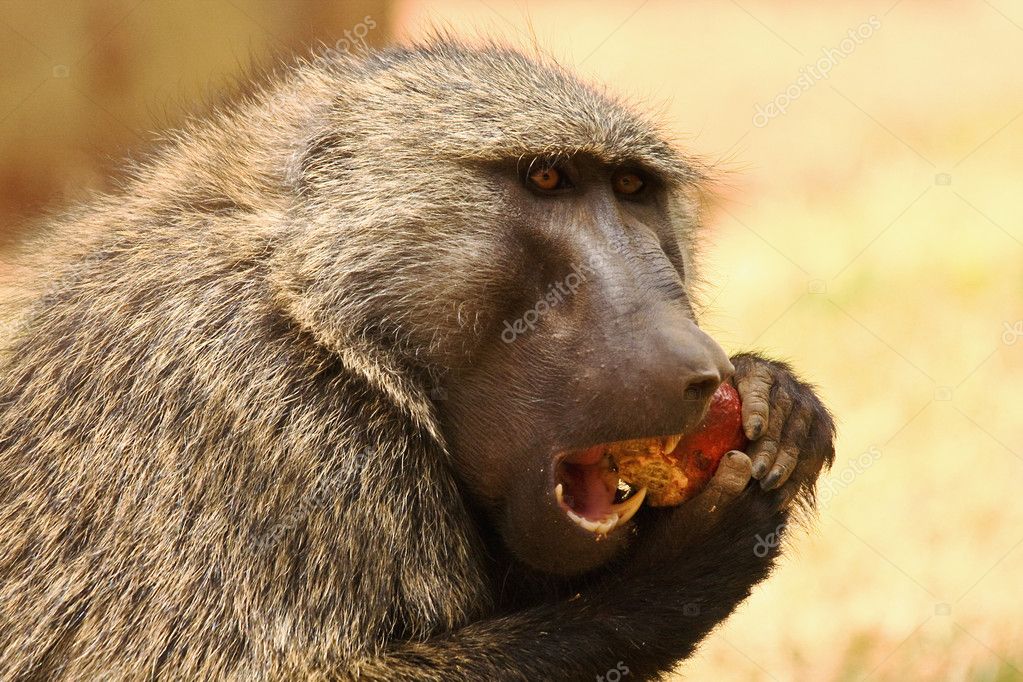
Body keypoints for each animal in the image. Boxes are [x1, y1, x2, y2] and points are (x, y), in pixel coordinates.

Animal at [0, 37, 835, 680]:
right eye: (546, 179)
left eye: (632, 188)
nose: (701, 371)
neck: (322, 321)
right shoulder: (249, 411)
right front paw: (683, 561)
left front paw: (778, 401)